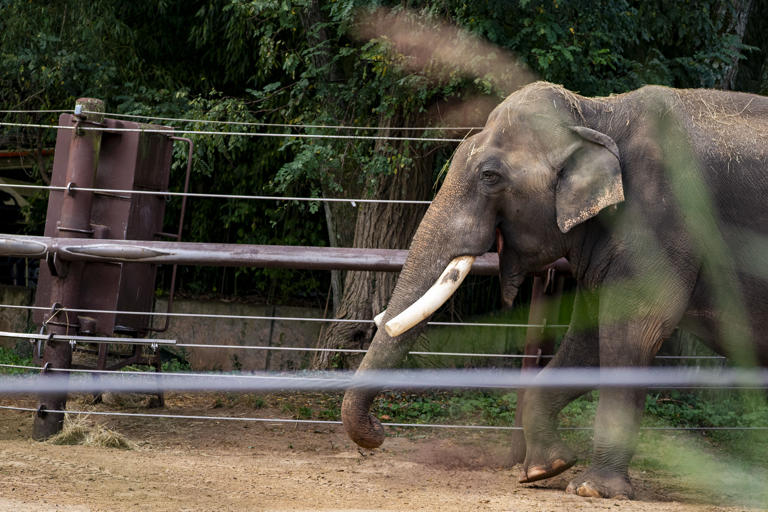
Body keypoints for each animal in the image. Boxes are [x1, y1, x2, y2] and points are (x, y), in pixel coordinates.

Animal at [341, 81, 768, 499]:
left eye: (489, 176)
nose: (379, 430)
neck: (598, 112)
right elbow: (589, 338)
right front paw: (545, 469)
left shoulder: (663, 217)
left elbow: (632, 332)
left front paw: (593, 490)